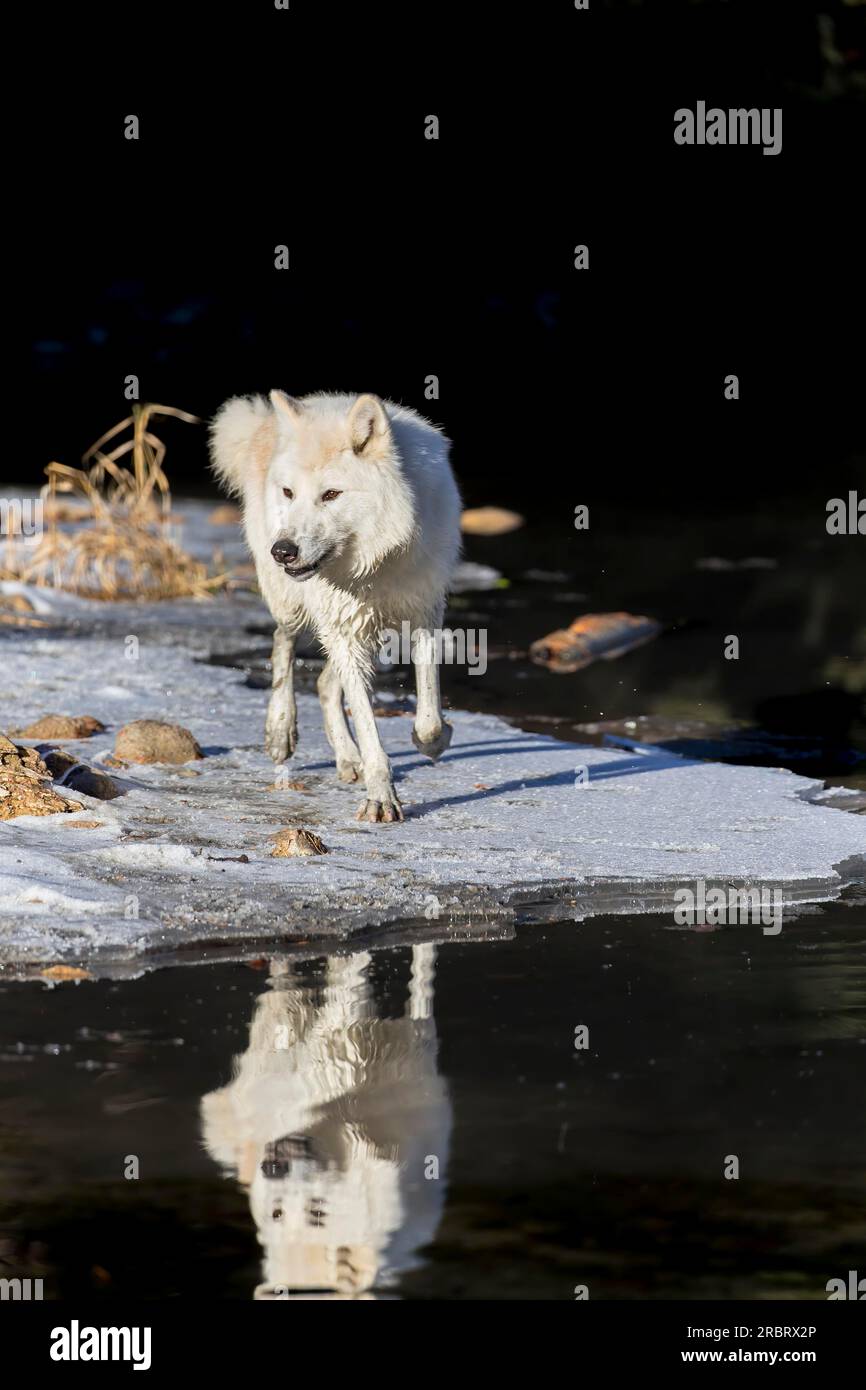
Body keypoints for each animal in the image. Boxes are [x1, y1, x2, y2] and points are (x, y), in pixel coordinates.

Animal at [210, 391, 462, 822]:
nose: (283, 551)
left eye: (331, 494)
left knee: (326, 683)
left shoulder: (425, 613)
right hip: (295, 606)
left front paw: (434, 738)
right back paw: (281, 731)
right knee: (283, 644)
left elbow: (428, 713)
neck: (376, 564)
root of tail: (266, 423)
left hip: (369, 634)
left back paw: (347, 759)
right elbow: (369, 727)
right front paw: (381, 799)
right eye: (290, 493)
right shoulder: (344, 628)